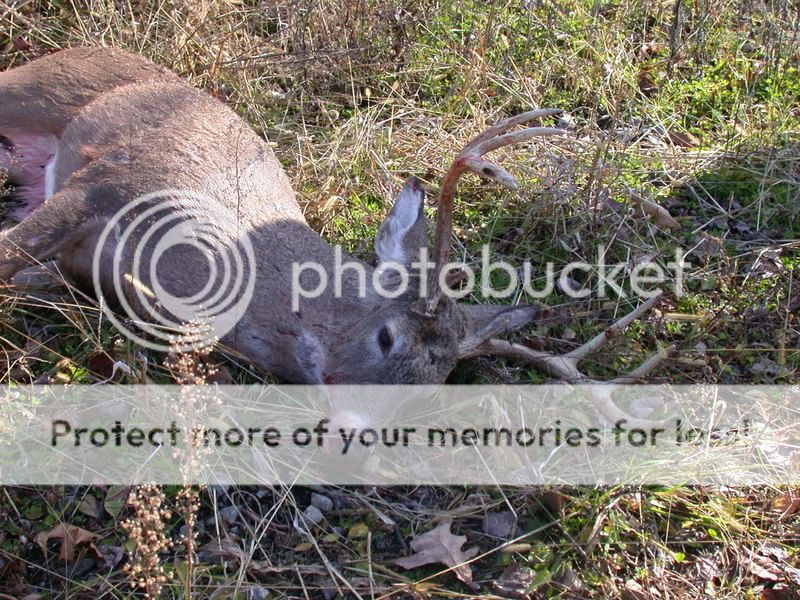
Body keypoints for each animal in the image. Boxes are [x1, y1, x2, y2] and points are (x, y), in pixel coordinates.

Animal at [0, 47, 673, 397]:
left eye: (430, 385)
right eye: (386, 338)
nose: (356, 426)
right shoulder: (109, 184)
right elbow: (12, 252)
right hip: (30, 89)